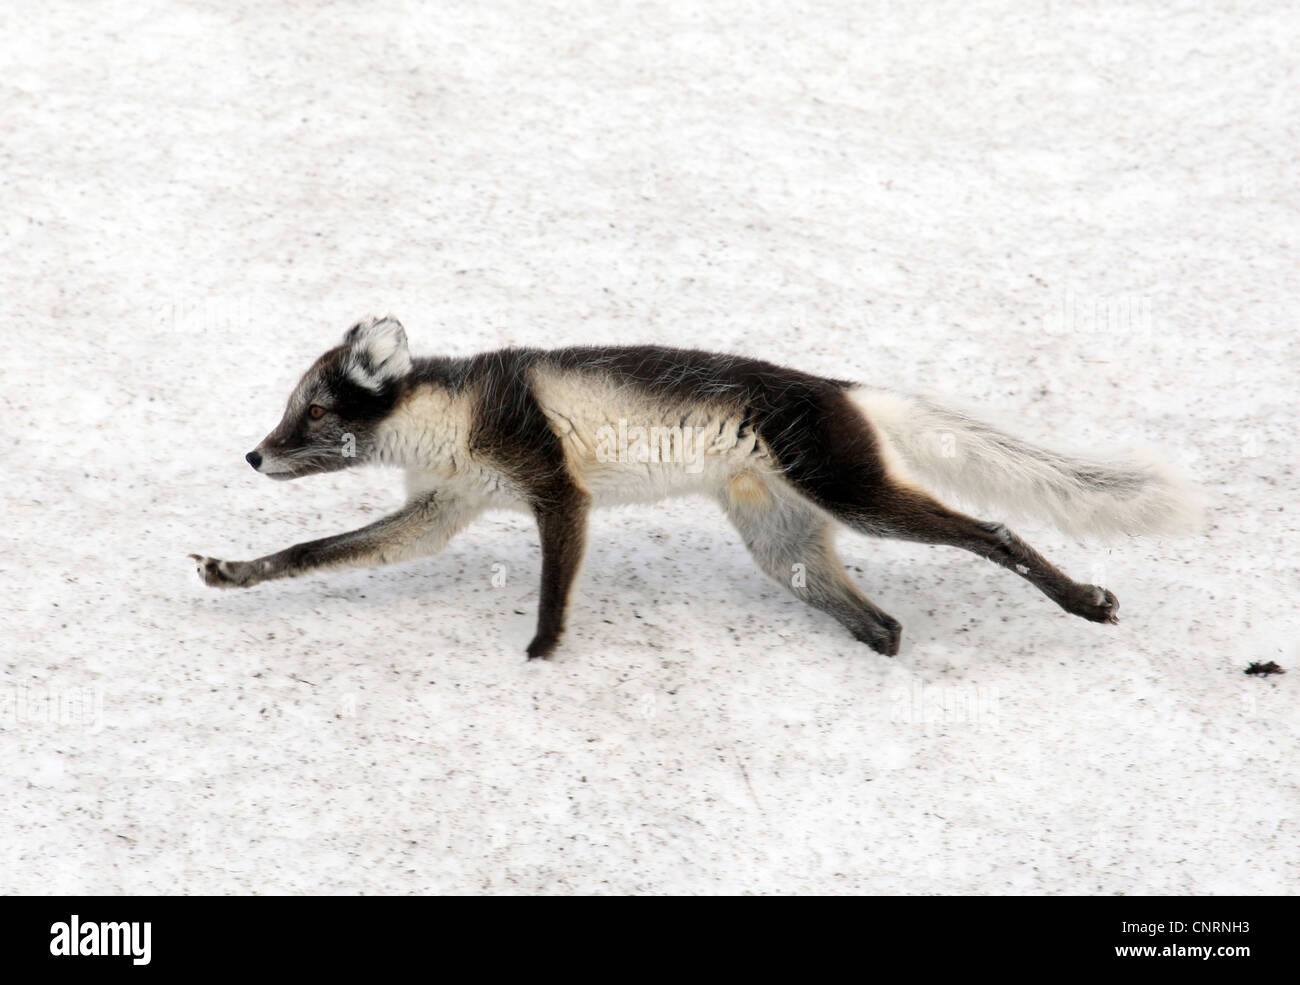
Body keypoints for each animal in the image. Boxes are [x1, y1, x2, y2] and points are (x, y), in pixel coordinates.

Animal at [191, 316, 1201, 660]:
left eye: (315, 411)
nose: (253, 456)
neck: (450, 413)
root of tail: (842, 387)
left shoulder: (554, 485)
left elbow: (556, 581)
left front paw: (542, 654)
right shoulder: (440, 509)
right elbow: (312, 552)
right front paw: (232, 572)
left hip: (853, 492)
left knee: (993, 531)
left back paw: (1087, 600)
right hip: (785, 544)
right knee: (884, 623)